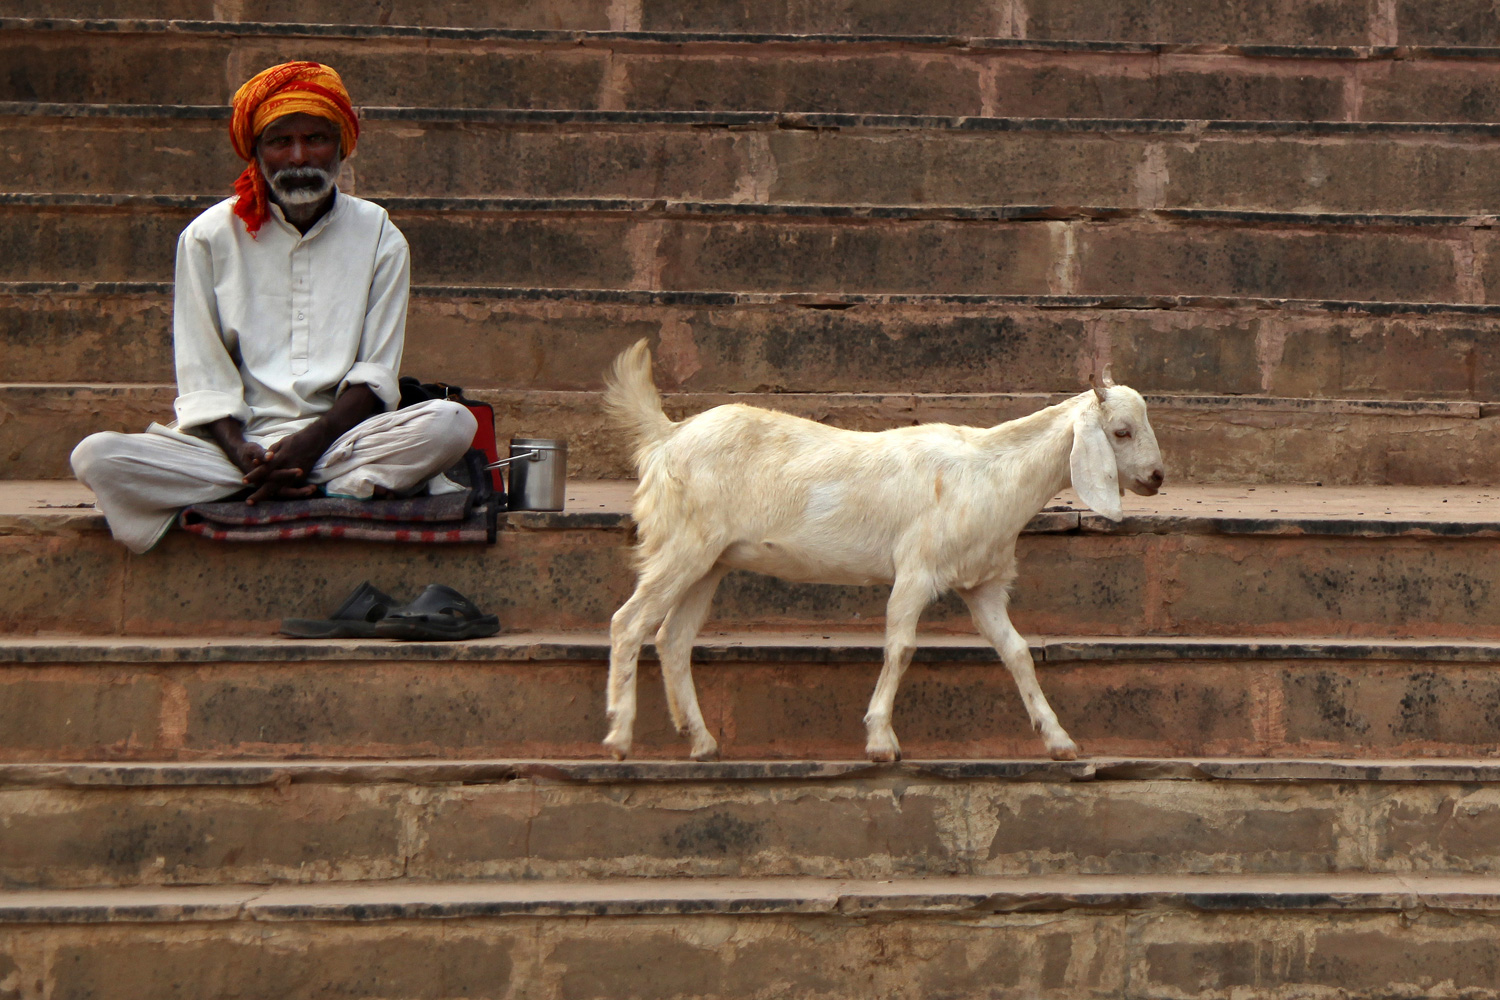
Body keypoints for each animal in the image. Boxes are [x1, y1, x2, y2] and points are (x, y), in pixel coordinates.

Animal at [603, 340, 1164, 761]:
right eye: (1121, 431)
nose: (1157, 477)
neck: (991, 472)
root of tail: (666, 436)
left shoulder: (983, 585)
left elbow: (1018, 653)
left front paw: (1059, 739)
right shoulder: (916, 571)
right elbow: (901, 648)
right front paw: (880, 740)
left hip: (710, 562)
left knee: (672, 639)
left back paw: (701, 742)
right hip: (681, 547)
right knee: (628, 622)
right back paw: (619, 737)